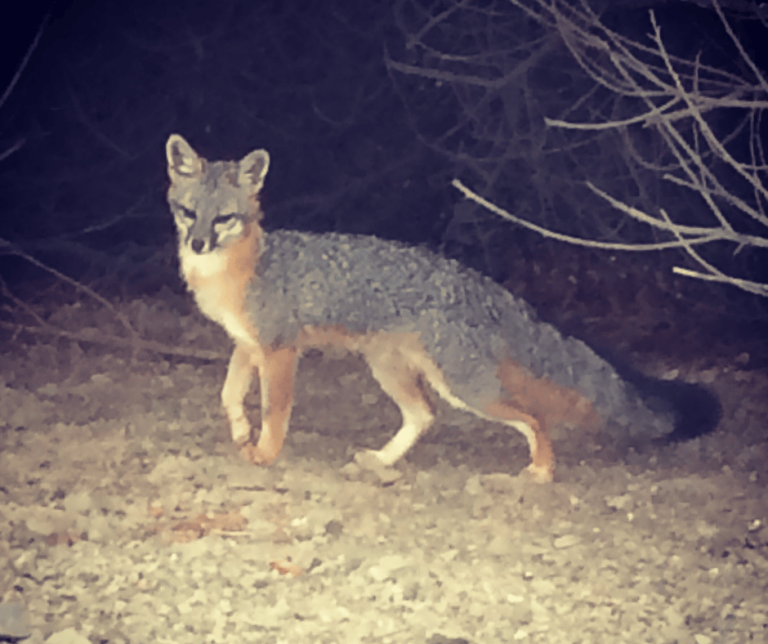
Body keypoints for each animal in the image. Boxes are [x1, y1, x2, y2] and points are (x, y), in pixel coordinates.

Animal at [165, 134, 716, 483]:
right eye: (189, 212)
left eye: (224, 218)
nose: (197, 243)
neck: (240, 270)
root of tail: (477, 282)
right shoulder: (247, 343)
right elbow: (228, 394)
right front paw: (240, 432)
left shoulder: (279, 350)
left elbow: (274, 410)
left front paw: (264, 453)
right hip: (392, 370)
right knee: (425, 415)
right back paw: (383, 462)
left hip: (464, 387)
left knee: (533, 417)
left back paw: (539, 473)